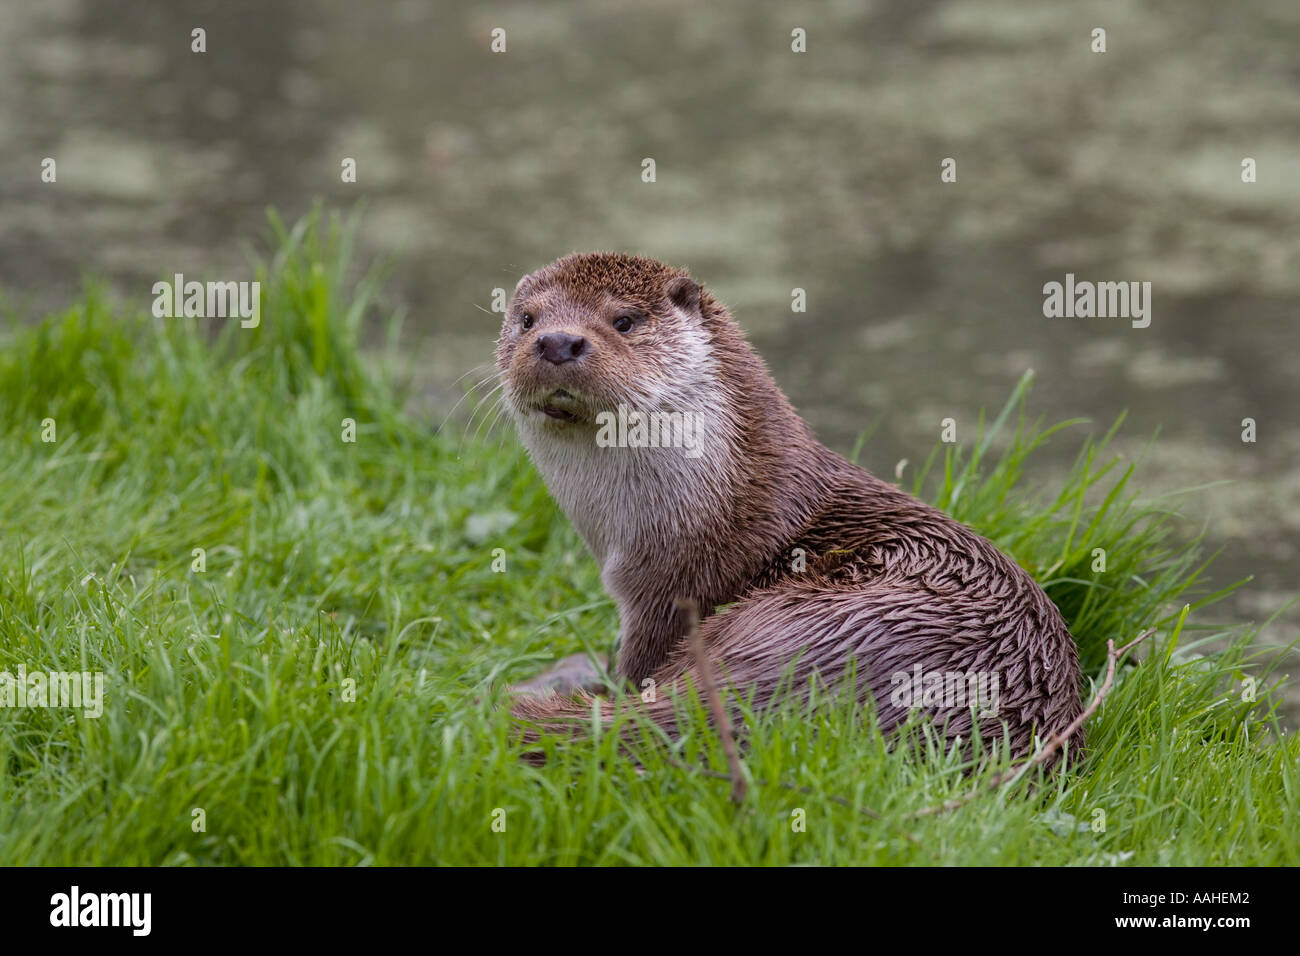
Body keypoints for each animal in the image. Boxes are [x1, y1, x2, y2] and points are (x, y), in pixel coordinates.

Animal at [497, 253, 1083, 765]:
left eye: (623, 320)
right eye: (526, 319)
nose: (557, 341)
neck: (719, 511)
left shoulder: (663, 596)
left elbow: (637, 667)